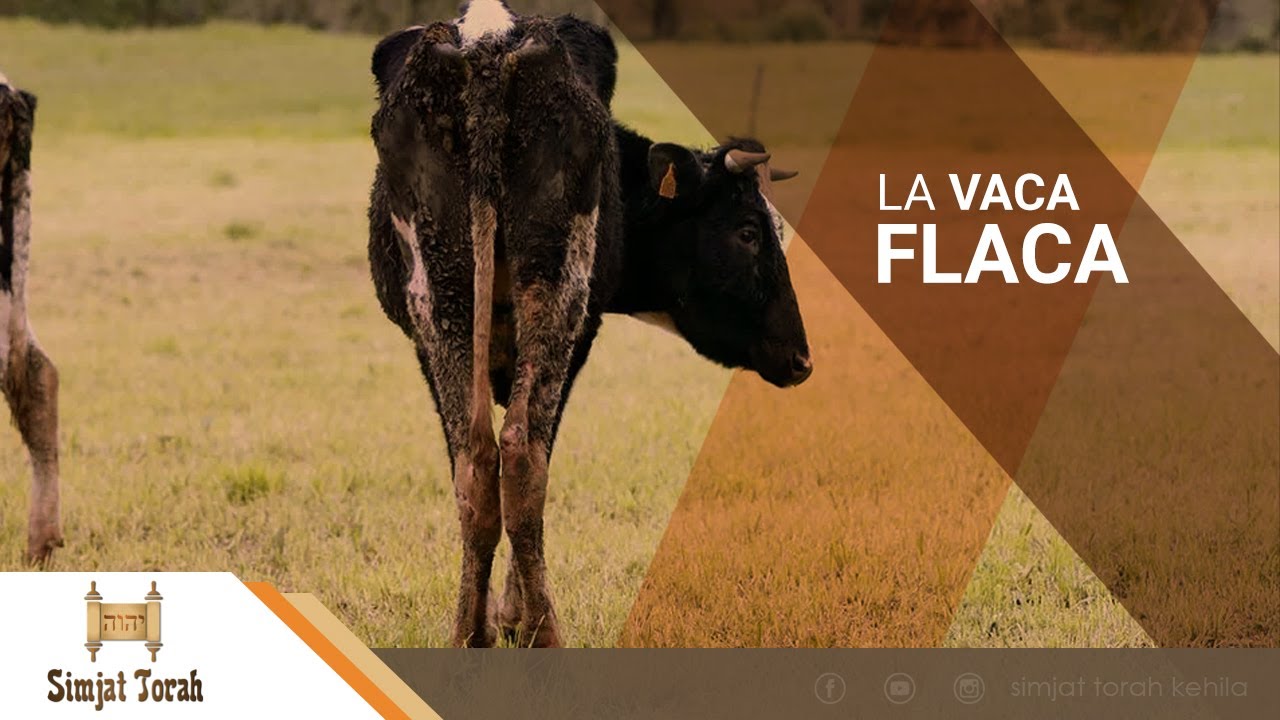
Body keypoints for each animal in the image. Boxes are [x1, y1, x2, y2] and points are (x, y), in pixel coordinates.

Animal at [367, 1, 809, 647]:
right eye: (749, 231)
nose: (801, 358)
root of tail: (490, 47)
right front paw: (509, 615)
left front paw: (501, 615)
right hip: (532, 298)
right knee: (510, 455)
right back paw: (520, 631)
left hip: (466, 298)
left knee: (492, 457)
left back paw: (493, 632)